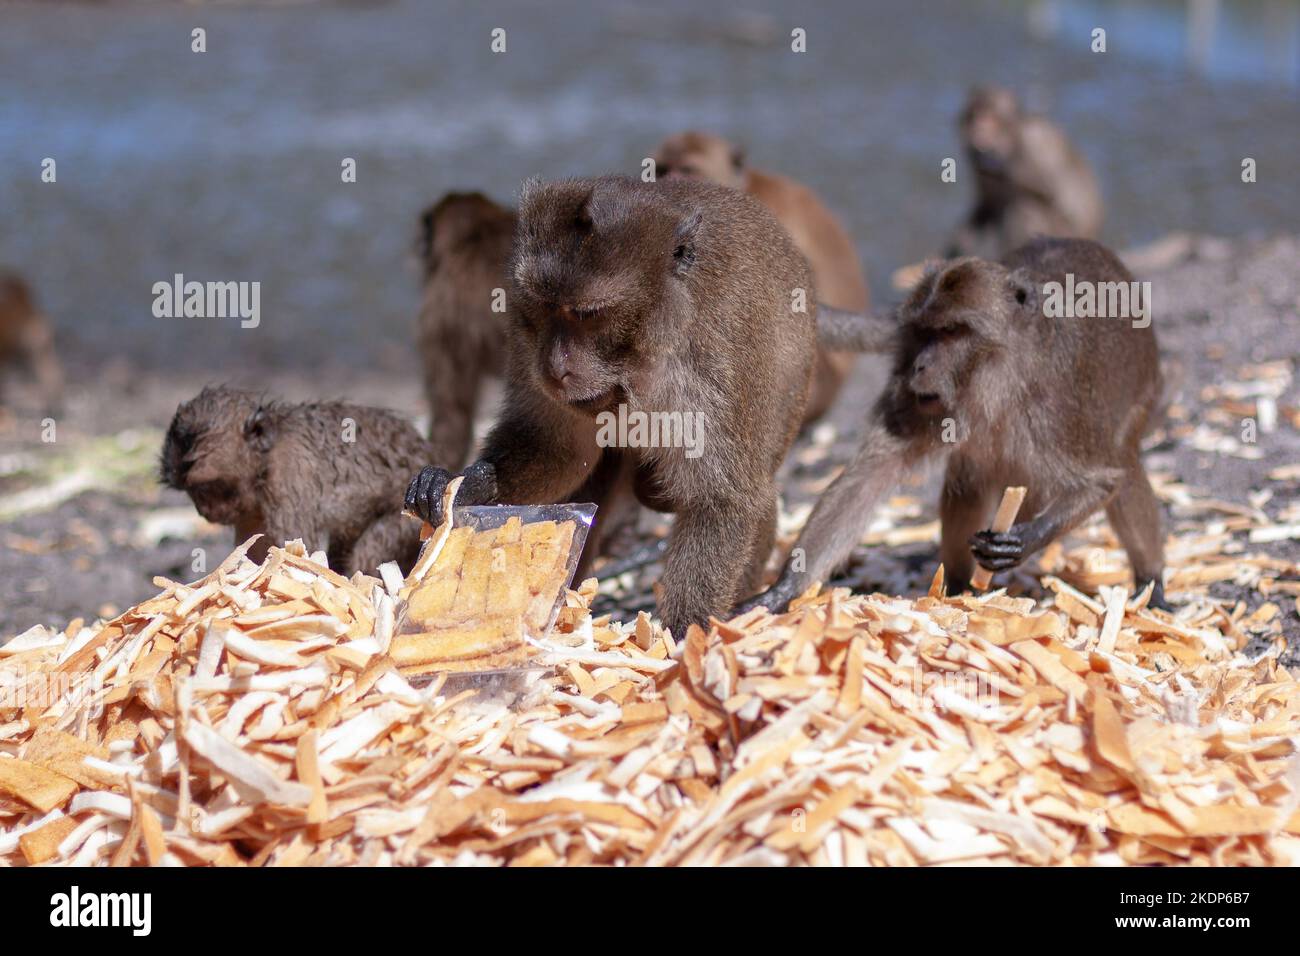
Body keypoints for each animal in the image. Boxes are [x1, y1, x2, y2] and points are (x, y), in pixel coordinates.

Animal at [737, 237, 1166, 616]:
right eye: (923, 333)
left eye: (950, 332)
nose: (919, 366)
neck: (998, 380)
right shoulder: (915, 402)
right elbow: (868, 478)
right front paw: (784, 589)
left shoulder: (1058, 407)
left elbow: (1103, 481)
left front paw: (1024, 539)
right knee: (969, 480)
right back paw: (960, 589)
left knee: (1125, 464)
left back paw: (1151, 586)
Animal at [946, 87, 1103, 260]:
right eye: (975, 116)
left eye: (991, 118)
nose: (979, 128)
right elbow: (987, 205)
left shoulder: (1034, 143)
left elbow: (1047, 189)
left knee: (1025, 208)